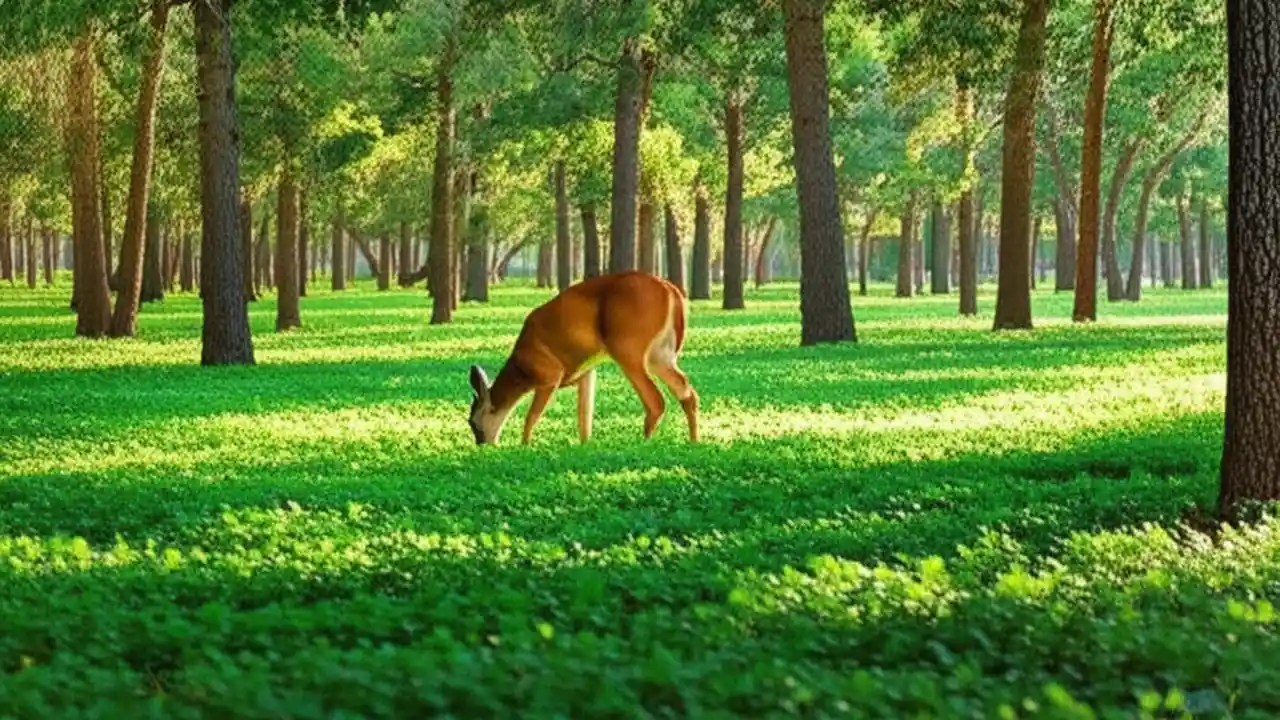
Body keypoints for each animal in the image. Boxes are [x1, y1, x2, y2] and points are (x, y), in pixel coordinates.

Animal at [467, 271, 699, 446]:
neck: (522, 370)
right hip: (661, 355)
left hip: (628, 347)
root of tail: (671, 290)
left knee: (656, 400)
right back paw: (694, 441)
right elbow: (584, 416)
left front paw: (524, 445)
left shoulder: (550, 373)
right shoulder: (586, 372)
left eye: (472, 423)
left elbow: (532, 416)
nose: (481, 444)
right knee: (687, 391)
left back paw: (644, 443)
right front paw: (585, 445)